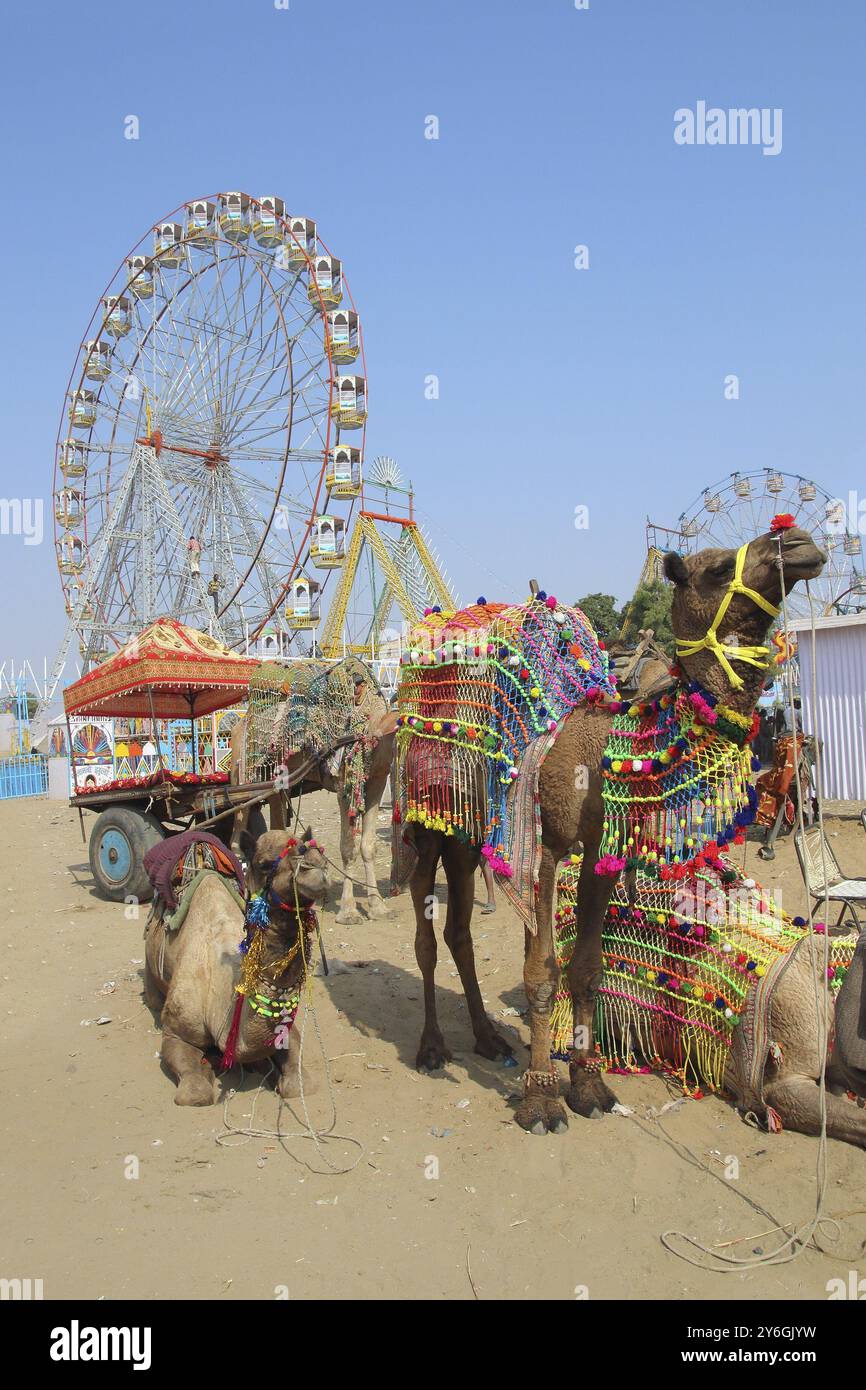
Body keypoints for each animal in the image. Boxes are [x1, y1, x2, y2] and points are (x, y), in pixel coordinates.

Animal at [144, 827, 328, 1105]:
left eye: (309, 846)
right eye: (264, 864)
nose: (315, 865)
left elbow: (299, 1084)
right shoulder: (176, 1031)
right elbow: (195, 1094)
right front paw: (208, 1069)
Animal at [229, 667, 397, 925]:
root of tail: (237, 727)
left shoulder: (377, 780)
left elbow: (369, 845)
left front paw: (378, 907)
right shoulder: (343, 783)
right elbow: (348, 848)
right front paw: (348, 912)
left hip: (276, 780)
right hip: (243, 776)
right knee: (237, 835)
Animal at [401, 525, 866, 1145]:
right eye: (717, 568)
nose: (798, 542)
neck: (607, 747)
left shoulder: (604, 855)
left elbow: (586, 968)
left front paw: (588, 1087)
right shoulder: (546, 847)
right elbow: (542, 972)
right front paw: (541, 1101)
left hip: (468, 833)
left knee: (458, 931)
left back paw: (488, 1038)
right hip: (424, 817)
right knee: (426, 935)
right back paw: (431, 1048)